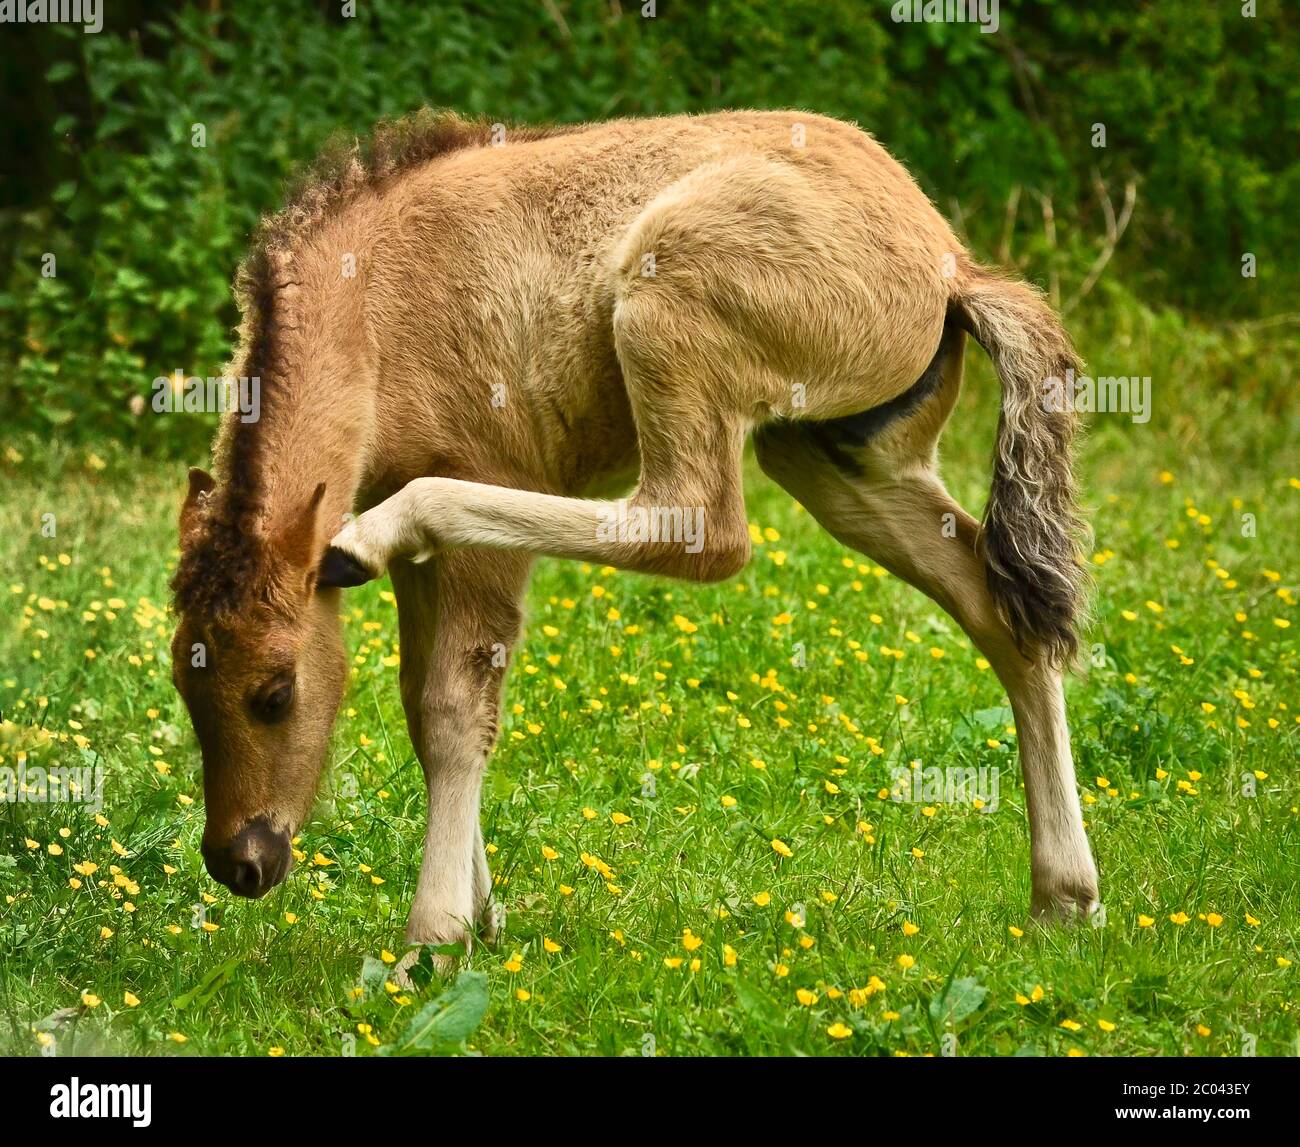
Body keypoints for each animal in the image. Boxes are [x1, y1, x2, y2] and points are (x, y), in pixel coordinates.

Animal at [170, 109, 1099, 960]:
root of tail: (950, 260)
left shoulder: (483, 495)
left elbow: (452, 707)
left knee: (701, 528)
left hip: (670, 304)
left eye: (276, 691)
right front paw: (483, 916)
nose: (240, 861)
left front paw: (435, 938)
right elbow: (422, 704)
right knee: (996, 603)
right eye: (185, 686)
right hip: (836, 457)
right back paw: (1066, 896)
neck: (376, 307)